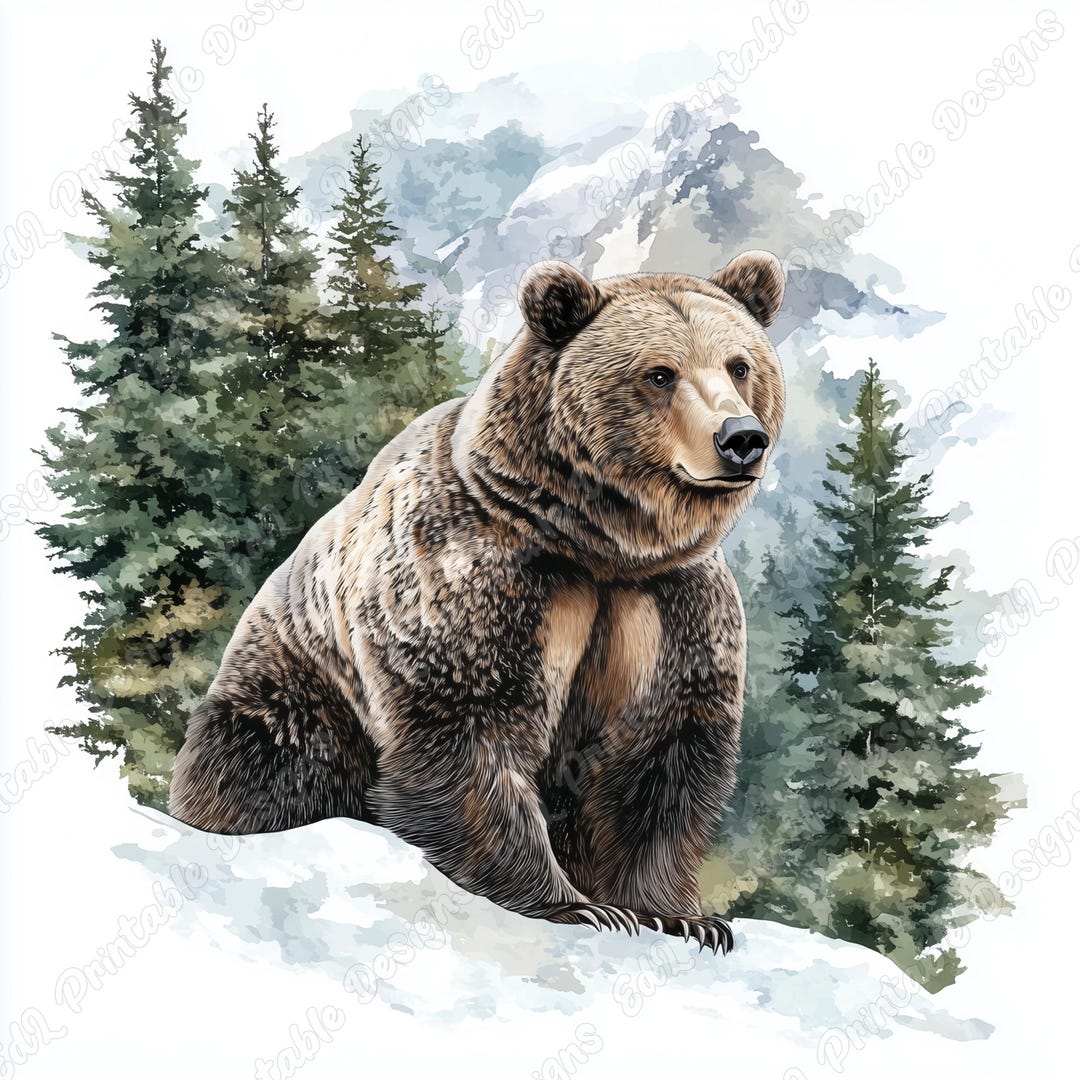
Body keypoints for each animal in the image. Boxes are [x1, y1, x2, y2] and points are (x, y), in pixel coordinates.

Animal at [169, 250, 787, 953]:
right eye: (660, 374)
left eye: (739, 364)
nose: (741, 437)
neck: (597, 546)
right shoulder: (481, 576)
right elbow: (470, 726)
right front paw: (572, 906)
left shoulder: (668, 605)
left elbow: (659, 754)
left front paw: (682, 917)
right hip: (299, 695)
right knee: (268, 767)